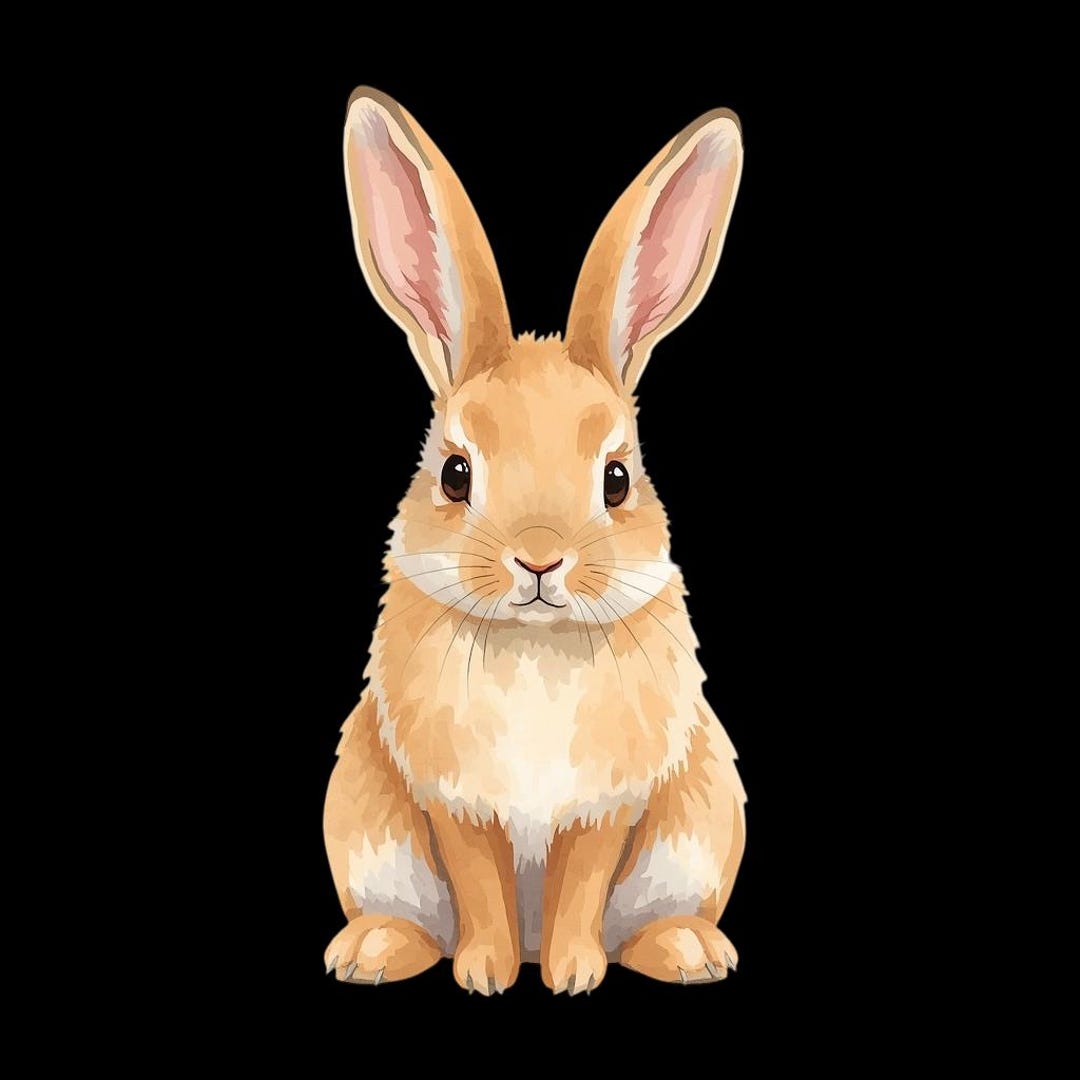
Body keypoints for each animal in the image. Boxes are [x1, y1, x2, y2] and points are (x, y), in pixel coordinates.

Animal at [324, 86, 746, 995]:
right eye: (455, 473)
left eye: (616, 480)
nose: (541, 559)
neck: (536, 644)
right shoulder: (453, 801)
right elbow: (478, 882)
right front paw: (485, 973)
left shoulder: (607, 805)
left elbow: (581, 886)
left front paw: (572, 974)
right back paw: (371, 952)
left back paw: (688, 952)